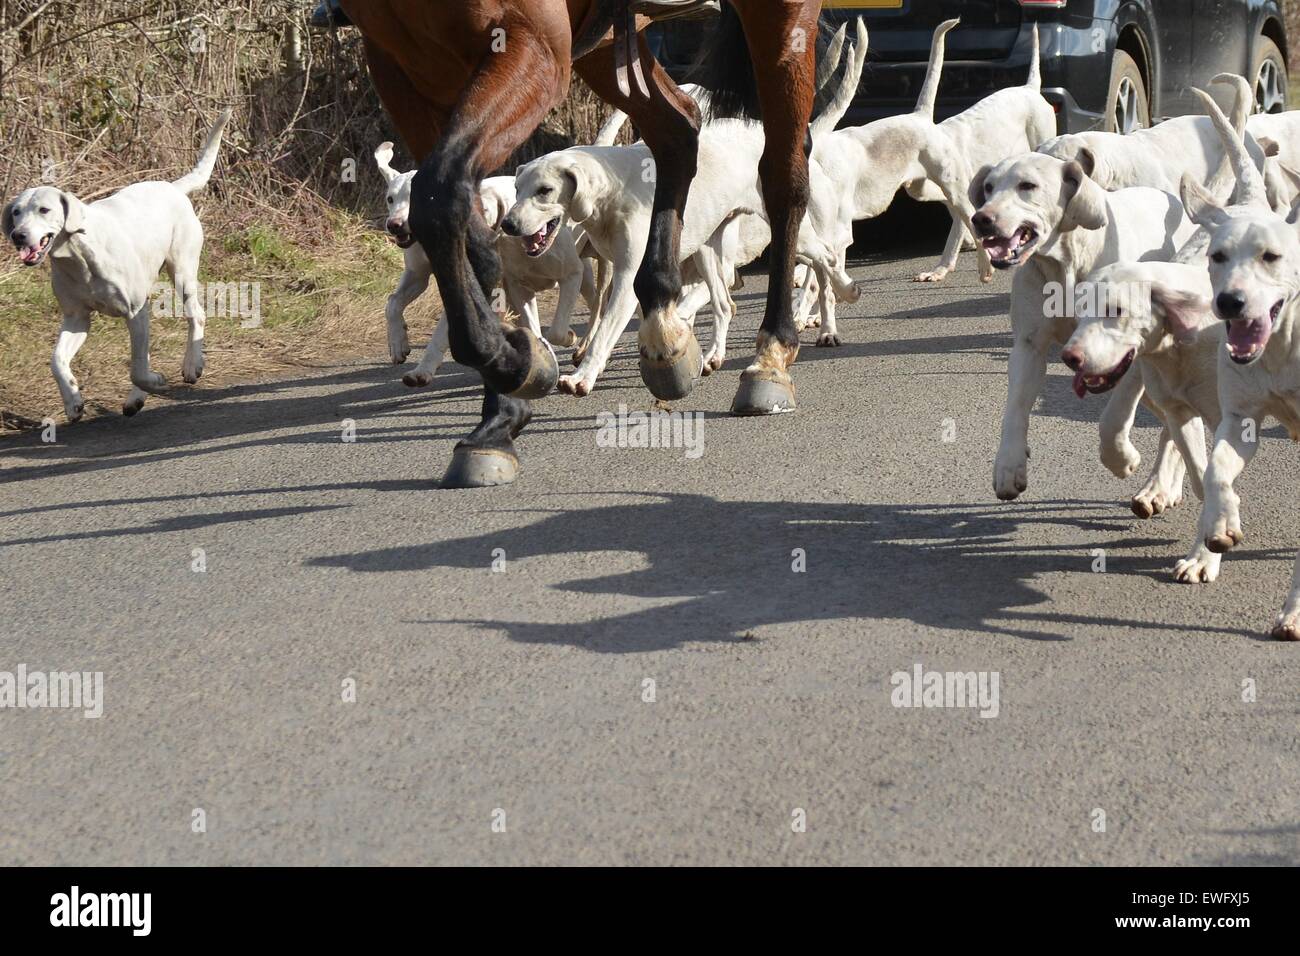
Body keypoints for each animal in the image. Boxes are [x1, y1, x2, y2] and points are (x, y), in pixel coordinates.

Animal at [338, 0, 825, 487]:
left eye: (546, 191)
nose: (395, 228)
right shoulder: (404, 64)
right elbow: (456, 219)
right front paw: (501, 408)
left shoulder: (530, 40)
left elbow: (441, 194)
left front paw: (522, 370)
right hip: (610, 48)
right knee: (677, 128)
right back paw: (665, 330)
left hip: (778, 24)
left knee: (783, 177)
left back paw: (769, 357)